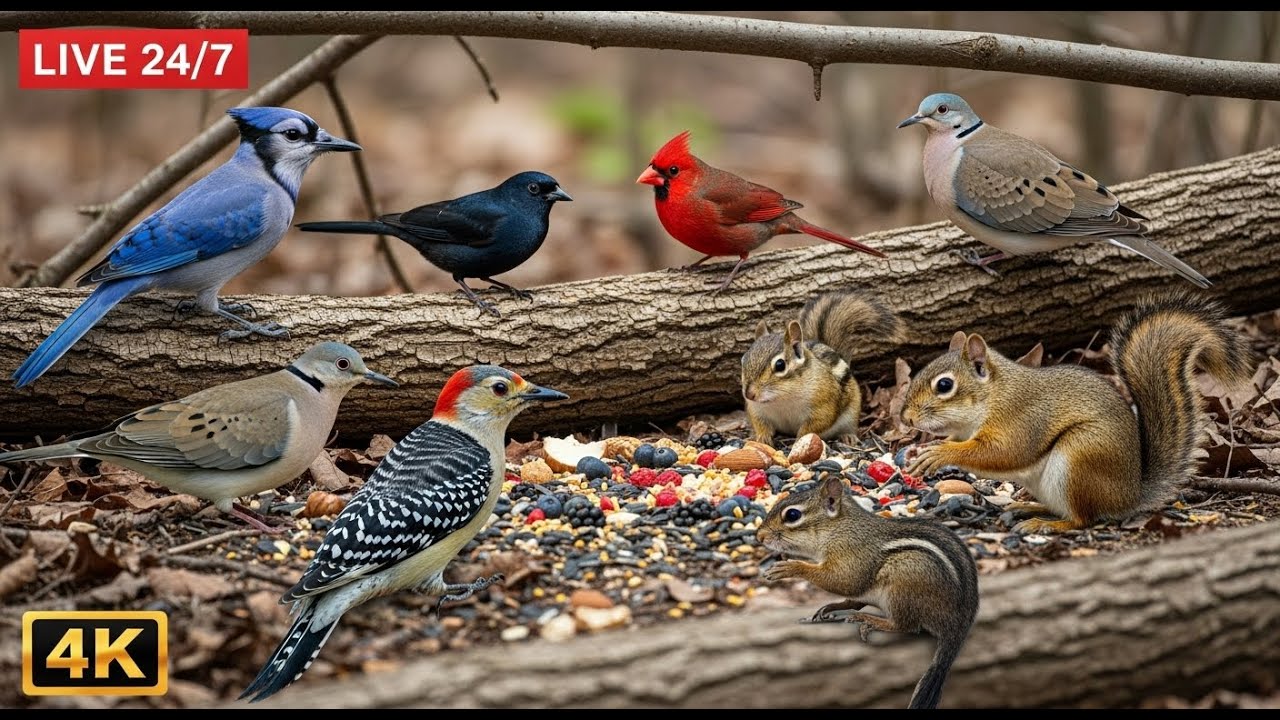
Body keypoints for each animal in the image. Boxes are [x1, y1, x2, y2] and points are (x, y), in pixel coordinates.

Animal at [741, 289, 902, 447]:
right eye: (743, 359)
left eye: (780, 365)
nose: (749, 394)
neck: (781, 399)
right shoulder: (756, 409)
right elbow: (759, 423)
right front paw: (761, 437)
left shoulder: (824, 404)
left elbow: (815, 424)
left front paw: (799, 440)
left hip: (852, 412)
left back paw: (848, 436)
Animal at [758, 475, 979, 710]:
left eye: (792, 515)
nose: (759, 536)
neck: (839, 528)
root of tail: (957, 627)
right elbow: (851, 593)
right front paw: (833, 604)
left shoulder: (852, 556)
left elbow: (844, 580)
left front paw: (790, 567)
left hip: (904, 583)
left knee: (906, 626)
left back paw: (868, 619)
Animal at [901, 290, 1253, 534]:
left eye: (944, 385)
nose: (906, 418)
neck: (993, 396)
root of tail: (1129, 495)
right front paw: (920, 449)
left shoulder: (1023, 418)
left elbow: (1004, 452)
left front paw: (940, 452)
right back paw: (1027, 507)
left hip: (1080, 456)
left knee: (1082, 519)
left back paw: (1046, 524)